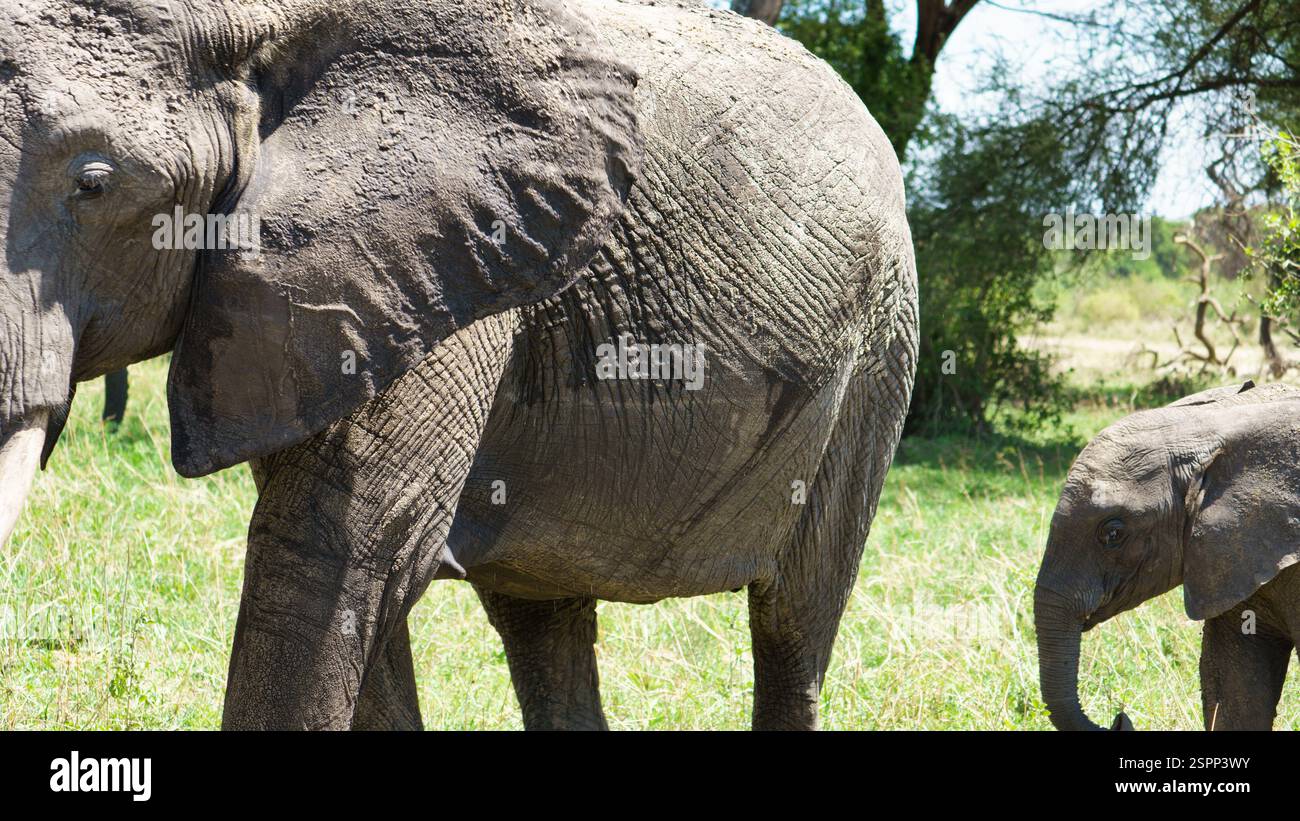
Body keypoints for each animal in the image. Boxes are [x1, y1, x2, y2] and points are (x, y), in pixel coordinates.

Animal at [0, 0, 918, 729]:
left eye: (94, 182)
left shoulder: (447, 261)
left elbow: (335, 551)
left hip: (880, 345)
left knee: (793, 624)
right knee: (544, 625)